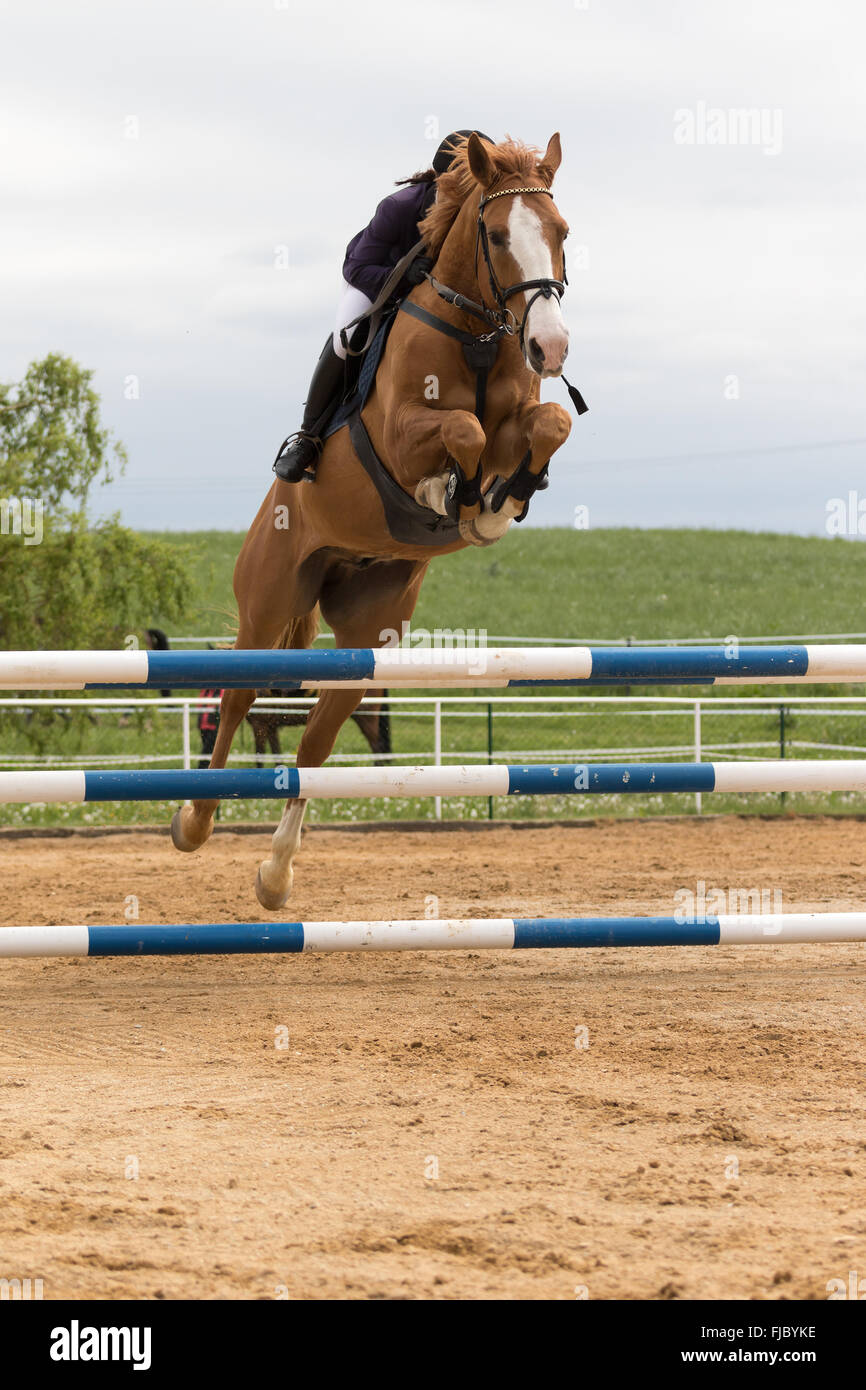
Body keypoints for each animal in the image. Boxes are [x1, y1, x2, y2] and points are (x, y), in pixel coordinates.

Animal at [170, 133, 580, 908]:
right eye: (495, 234)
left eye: (562, 233)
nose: (551, 346)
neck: (478, 334)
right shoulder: (400, 432)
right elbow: (461, 432)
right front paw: (453, 495)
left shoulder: (523, 415)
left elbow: (548, 422)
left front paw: (502, 499)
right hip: (268, 601)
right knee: (238, 700)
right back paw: (193, 823)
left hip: (368, 633)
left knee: (314, 743)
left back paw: (275, 877)